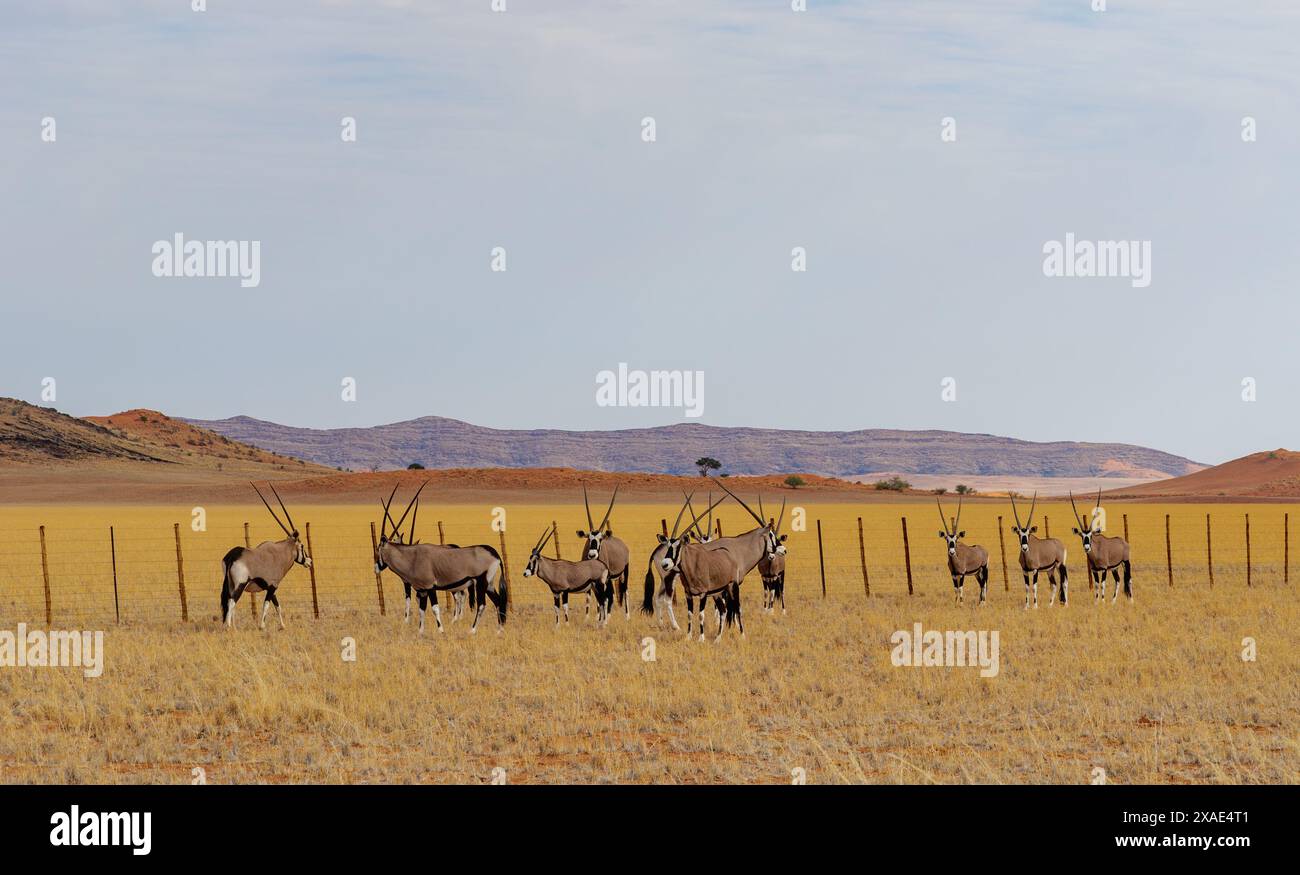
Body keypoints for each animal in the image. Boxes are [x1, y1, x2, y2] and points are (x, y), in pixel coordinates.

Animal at [220, 483, 312, 629]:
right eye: (302, 546)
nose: (309, 561)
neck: (280, 553)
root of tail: (231, 557)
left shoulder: (271, 588)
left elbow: (278, 606)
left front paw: (282, 626)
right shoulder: (272, 586)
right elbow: (267, 605)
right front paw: (262, 626)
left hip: (230, 584)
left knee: (230, 603)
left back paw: (234, 627)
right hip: (240, 584)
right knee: (231, 601)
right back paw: (228, 627)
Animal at [374, 485, 508, 633]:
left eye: (378, 549)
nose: (376, 568)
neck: (411, 557)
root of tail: (494, 553)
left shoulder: (430, 587)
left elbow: (434, 608)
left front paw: (441, 630)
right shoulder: (422, 590)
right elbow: (421, 610)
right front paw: (420, 631)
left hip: (481, 582)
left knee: (482, 605)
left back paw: (472, 630)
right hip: (489, 584)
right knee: (498, 601)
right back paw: (499, 630)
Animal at [576, 485, 631, 619]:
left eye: (600, 539)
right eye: (589, 538)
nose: (592, 555)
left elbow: (603, 598)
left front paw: (602, 618)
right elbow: (590, 597)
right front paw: (589, 618)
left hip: (624, 572)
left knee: (624, 591)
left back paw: (627, 616)